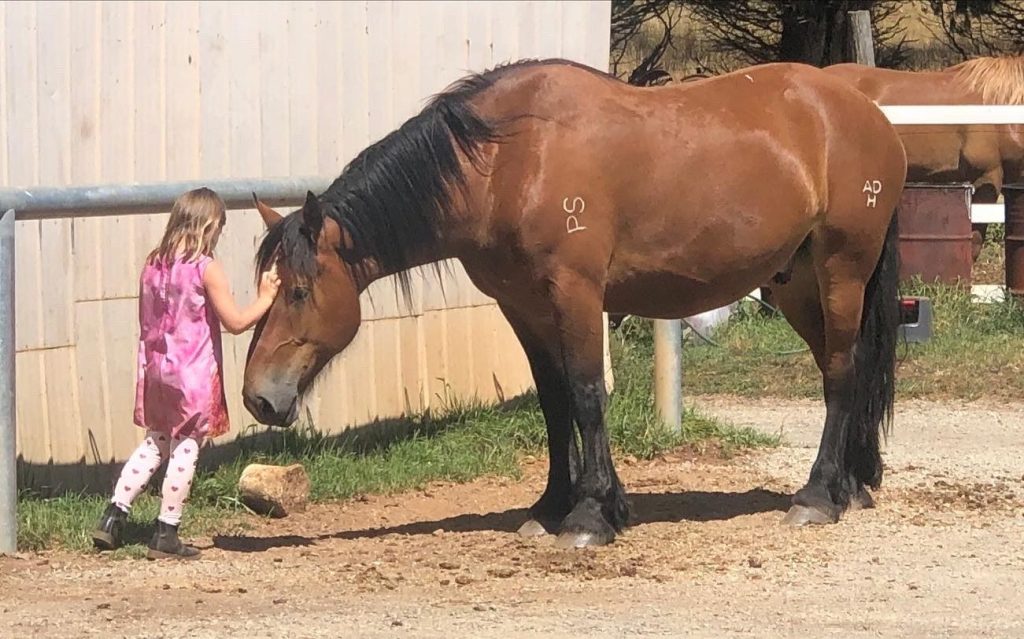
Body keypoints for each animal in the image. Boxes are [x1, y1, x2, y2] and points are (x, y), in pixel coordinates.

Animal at [242, 58, 908, 549]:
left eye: (298, 291)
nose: (258, 398)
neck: (507, 160)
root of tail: (867, 114)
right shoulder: (523, 306)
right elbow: (555, 402)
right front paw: (552, 506)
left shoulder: (577, 293)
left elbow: (588, 396)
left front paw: (590, 515)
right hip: (795, 284)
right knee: (845, 371)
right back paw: (852, 485)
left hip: (842, 271)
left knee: (841, 375)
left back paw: (817, 496)